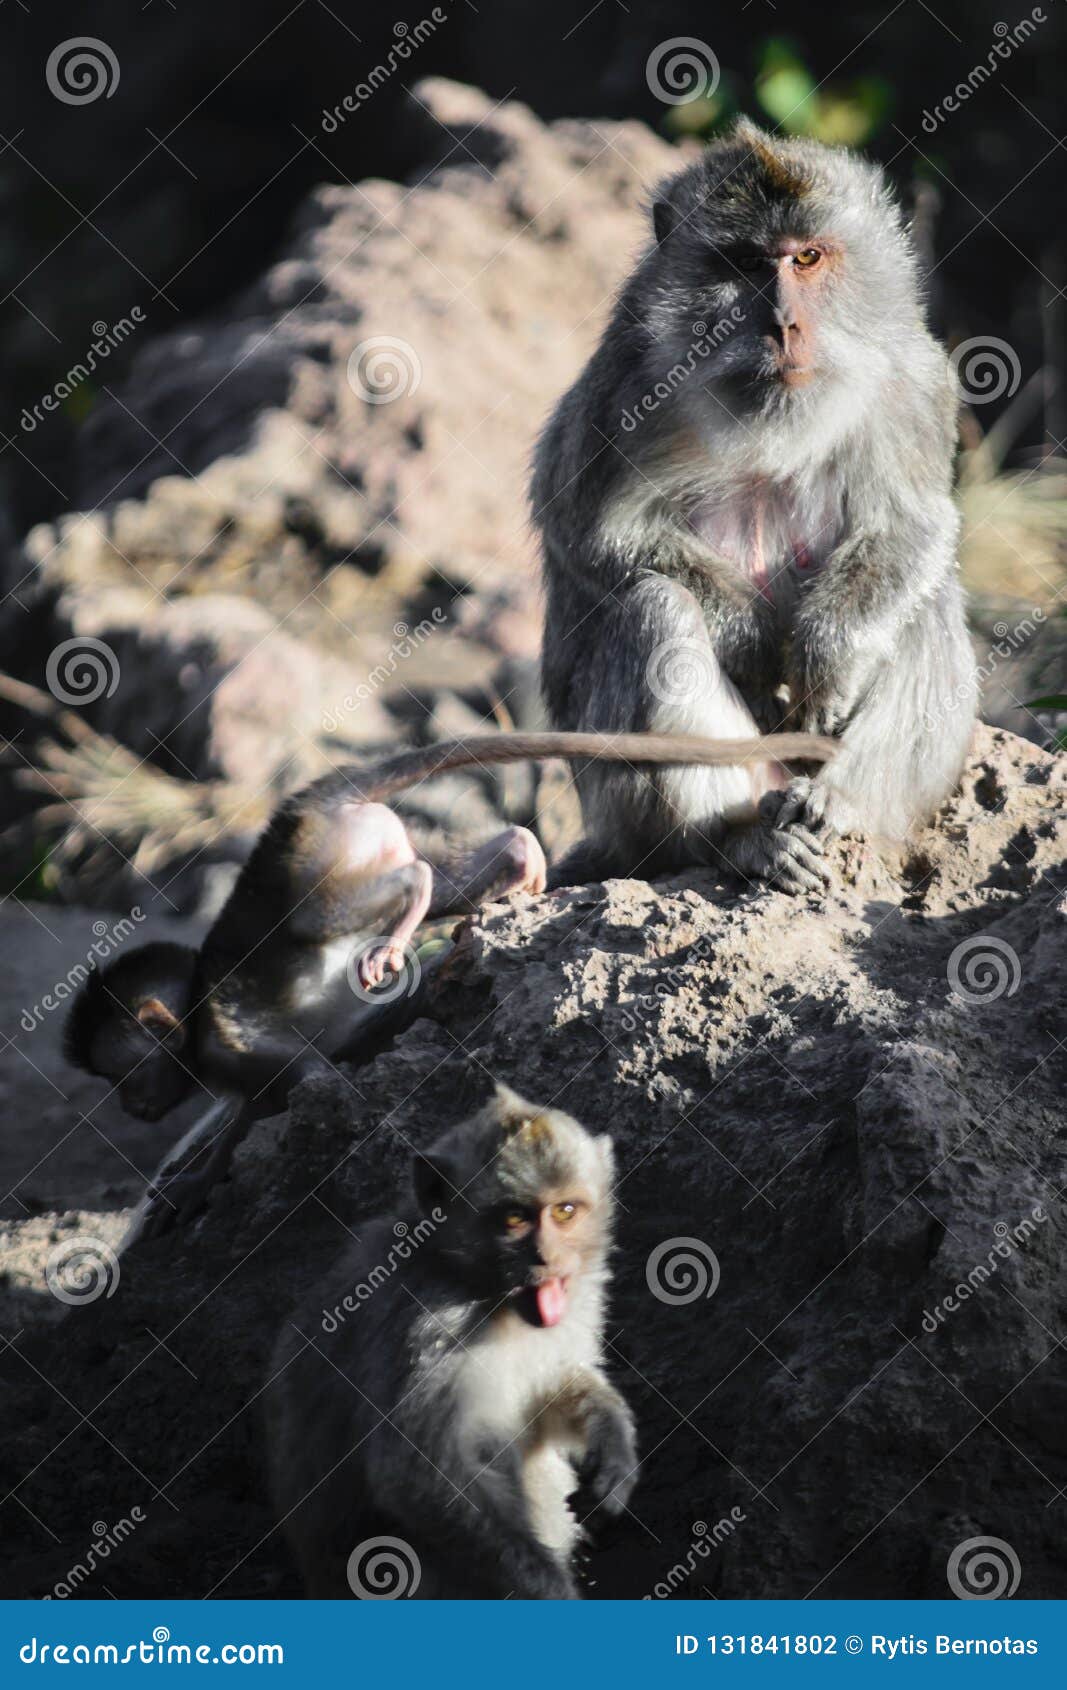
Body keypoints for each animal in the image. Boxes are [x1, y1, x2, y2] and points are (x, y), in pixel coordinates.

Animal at [63, 725, 833, 1234]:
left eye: (122, 1076)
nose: (130, 1108)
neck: (195, 1014)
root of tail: (304, 806)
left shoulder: (231, 1051)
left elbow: (307, 1084)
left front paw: (208, 1172)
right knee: (472, 863)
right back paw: (520, 865)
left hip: (320, 861)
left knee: (361, 899)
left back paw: (412, 905)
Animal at [264, 1083, 637, 1599]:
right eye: (515, 1218)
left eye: (565, 1211)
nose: (547, 1257)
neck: (480, 1289)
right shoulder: (425, 1327)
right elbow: (416, 1477)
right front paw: (552, 1592)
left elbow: (556, 1385)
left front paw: (613, 1447)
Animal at [532, 118, 978, 894]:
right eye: (744, 265)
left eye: (807, 257)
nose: (784, 325)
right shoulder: (624, 381)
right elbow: (590, 529)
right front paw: (756, 644)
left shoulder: (912, 378)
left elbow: (911, 525)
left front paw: (825, 657)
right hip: (623, 806)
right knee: (655, 608)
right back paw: (735, 840)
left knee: (925, 600)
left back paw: (838, 800)